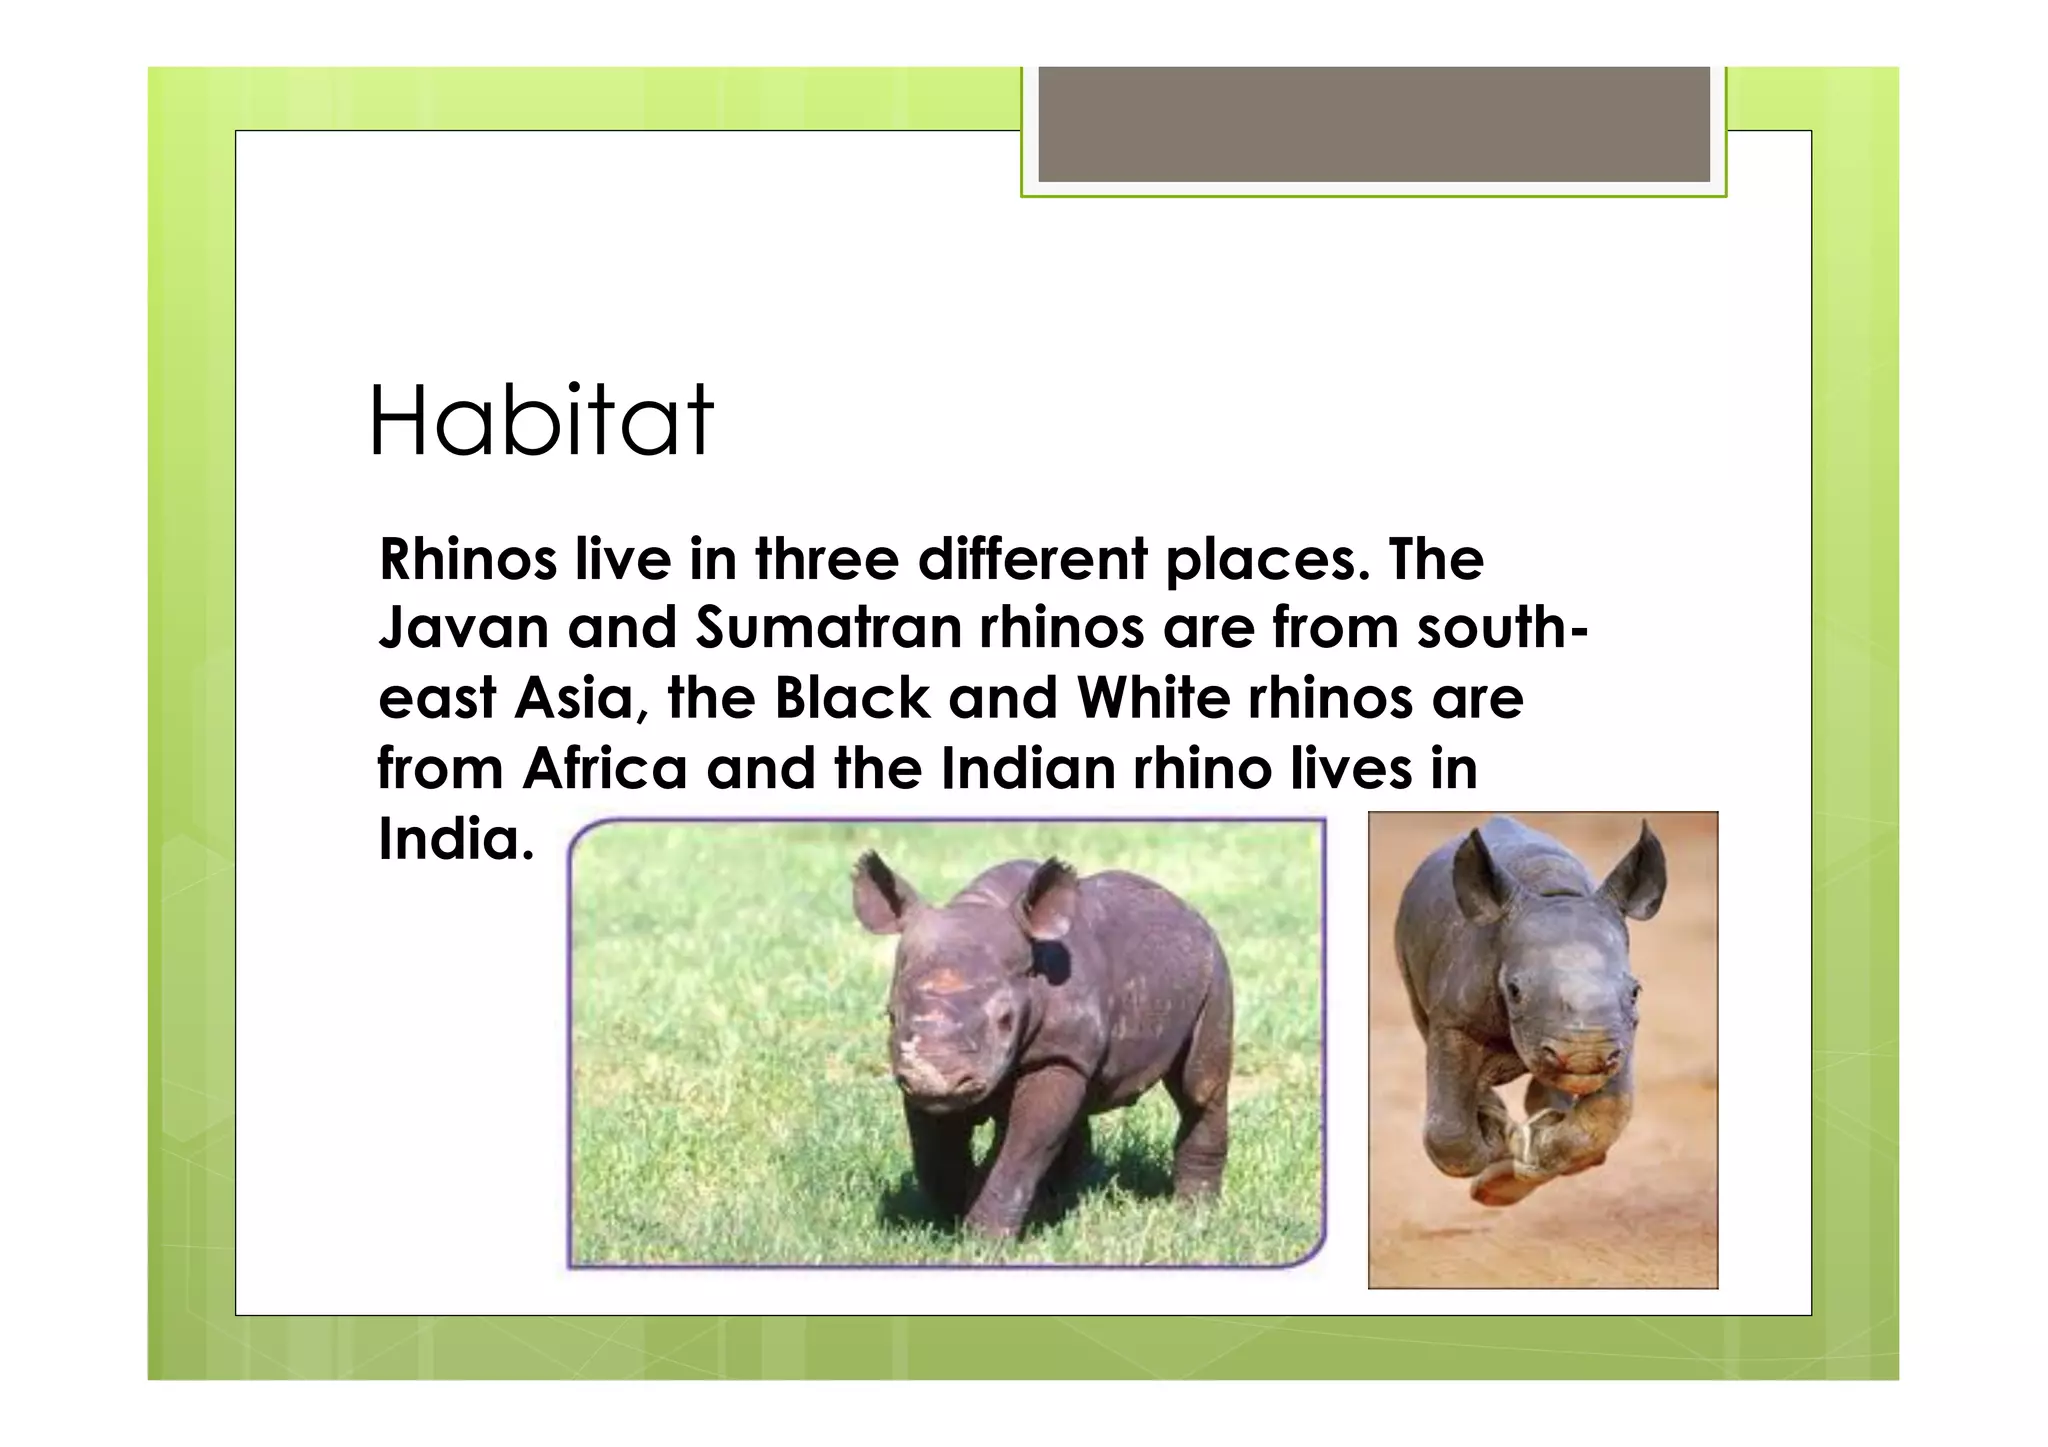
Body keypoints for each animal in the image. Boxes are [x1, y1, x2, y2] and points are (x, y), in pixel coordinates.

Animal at [852, 853, 1233, 1238]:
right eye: (890, 1016)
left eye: (1006, 1020)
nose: (936, 1079)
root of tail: (1186, 907)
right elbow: (935, 1152)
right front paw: (952, 1218)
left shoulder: (1057, 1056)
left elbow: (1023, 1147)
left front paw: (983, 1237)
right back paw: (1060, 1202)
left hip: (1215, 968)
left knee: (1200, 1087)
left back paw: (1194, 1214)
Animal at [1394, 816, 1666, 1207]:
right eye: (1514, 991)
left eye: (1635, 993)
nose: (1585, 1057)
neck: (1553, 893)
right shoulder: (1455, 1019)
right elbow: (1448, 1131)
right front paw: (1494, 1140)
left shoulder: (1623, 1031)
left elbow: (1610, 1111)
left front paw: (1530, 1160)